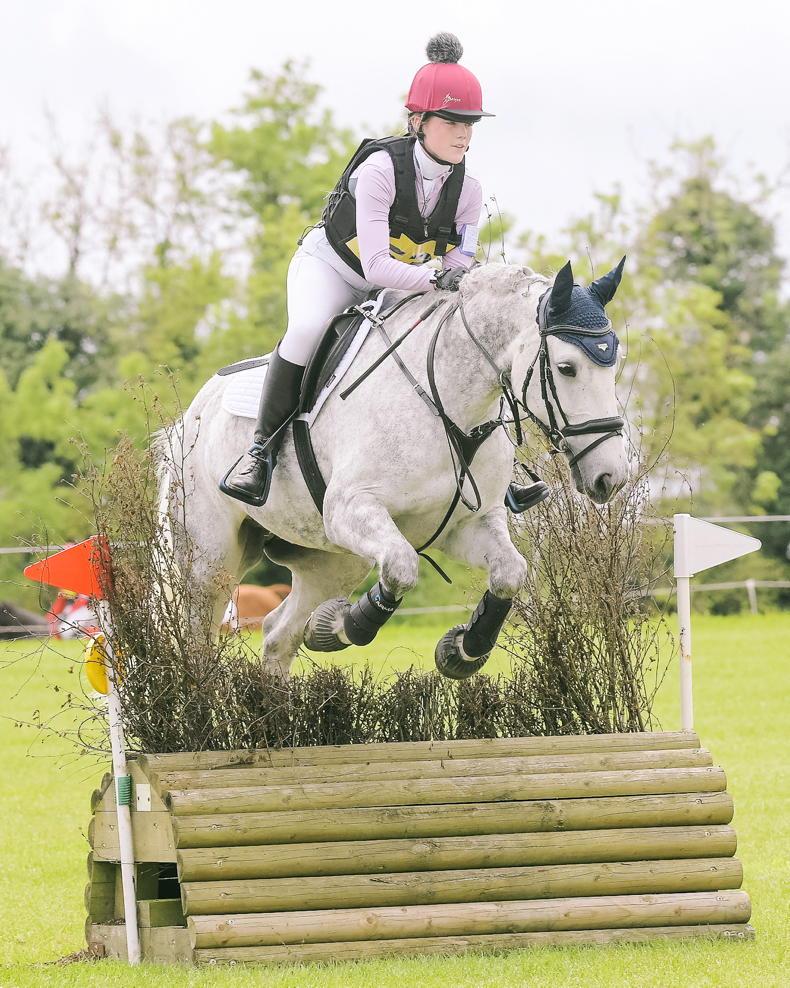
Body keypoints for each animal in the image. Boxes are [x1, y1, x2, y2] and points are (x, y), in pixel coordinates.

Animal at [154, 259, 629, 678]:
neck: (447, 401)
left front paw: (464, 649)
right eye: (566, 368)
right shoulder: (351, 509)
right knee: (198, 635)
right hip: (210, 559)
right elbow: (402, 567)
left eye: (614, 366)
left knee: (278, 634)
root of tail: (186, 418)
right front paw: (339, 627)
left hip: (332, 561)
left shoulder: (467, 525)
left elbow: (510, 573)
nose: (610, 478)